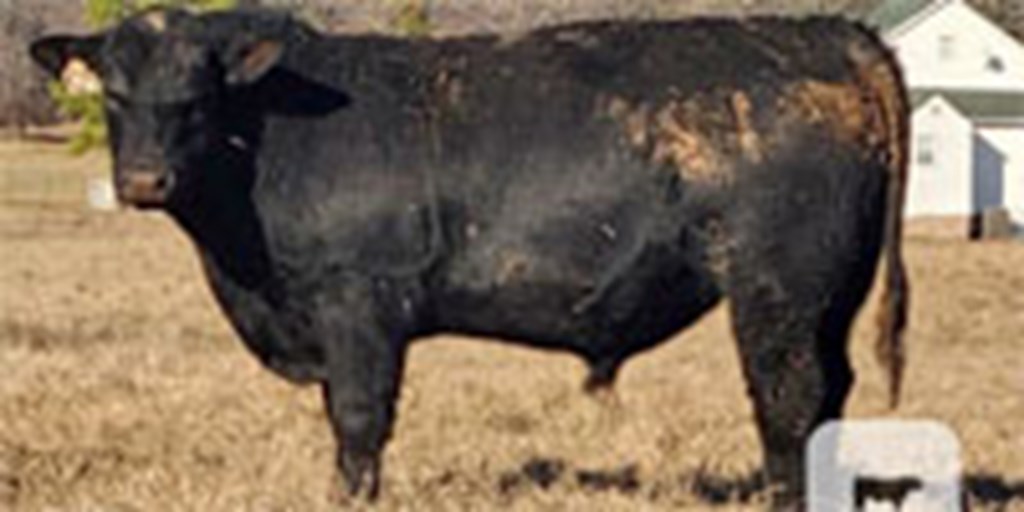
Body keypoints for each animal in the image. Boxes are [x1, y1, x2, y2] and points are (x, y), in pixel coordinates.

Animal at [30, 7, 910, 508]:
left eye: (198, 93)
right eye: (113, 92)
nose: (144, 180)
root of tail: (826, 30)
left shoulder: (358, 303)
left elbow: (359, 418)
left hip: (777, 291)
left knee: (787, 400)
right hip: (829, 297)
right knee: (829, 391)